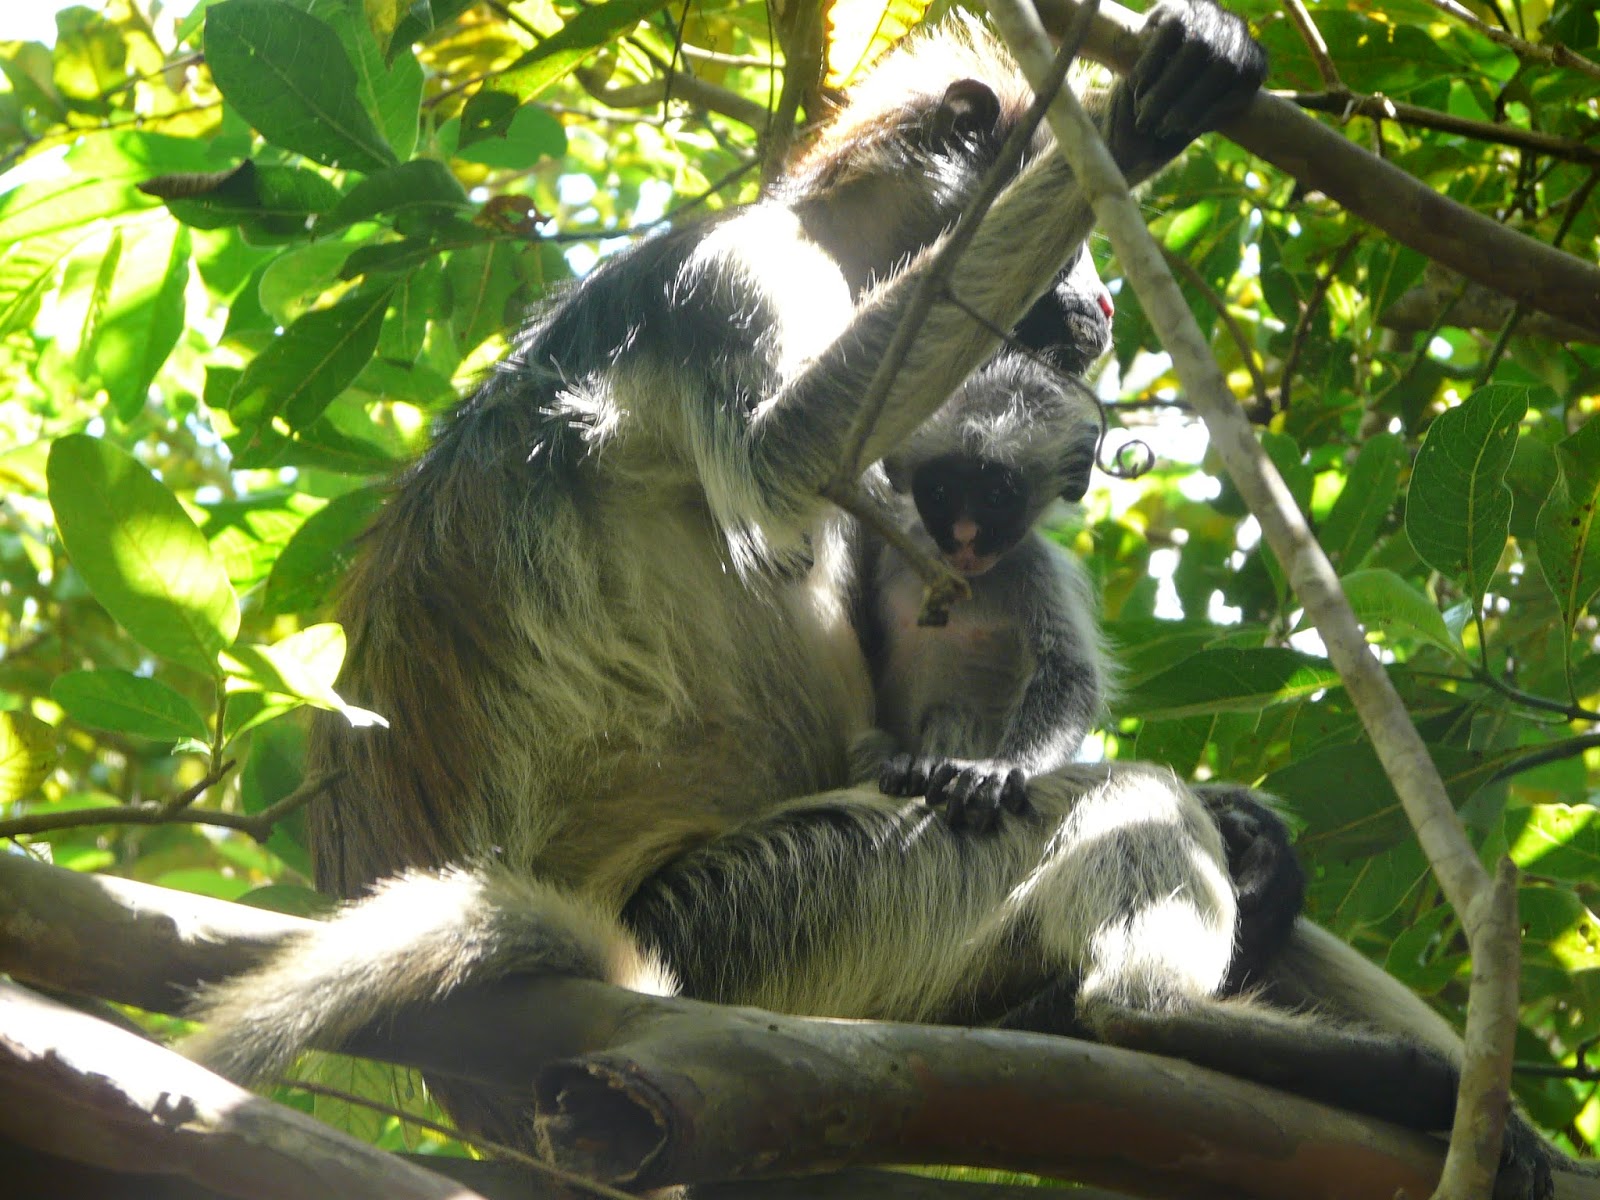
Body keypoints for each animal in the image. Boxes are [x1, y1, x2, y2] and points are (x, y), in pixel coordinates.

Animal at [177, 7, 1558, 1196]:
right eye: (1083, 241)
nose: (1100, 298)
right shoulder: (740, 270)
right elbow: (788, 460)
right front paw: (1138, 120)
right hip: (775, 915)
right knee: (1111, 810)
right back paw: (1161, 1019)